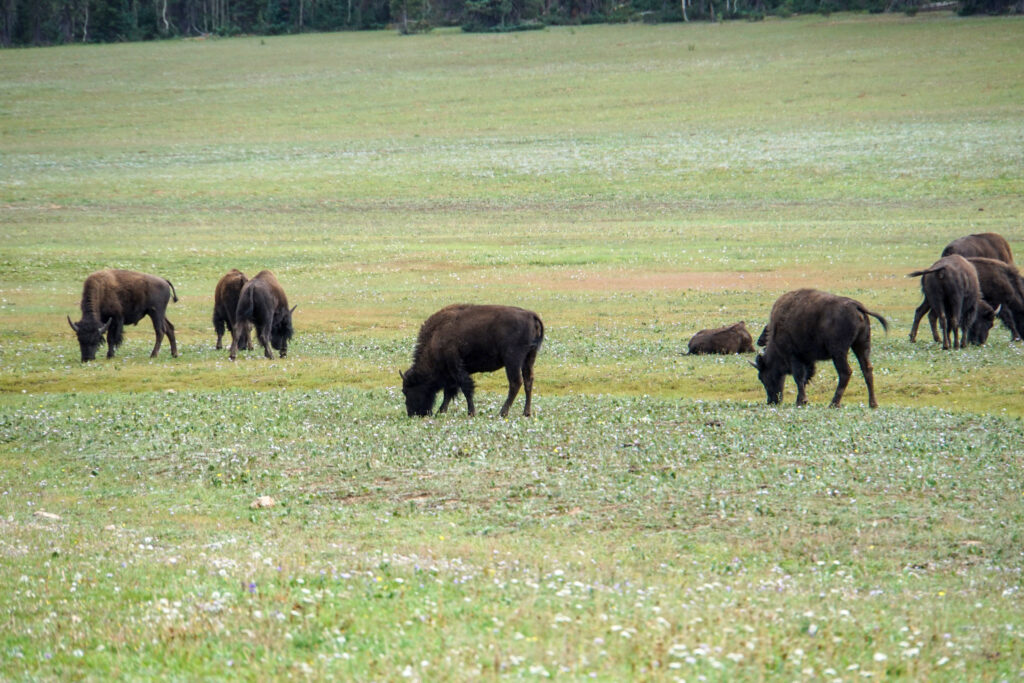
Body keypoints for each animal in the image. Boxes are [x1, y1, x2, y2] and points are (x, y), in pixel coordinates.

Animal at [400, 304, 544, 418]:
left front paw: (471, 412)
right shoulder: (451, 374)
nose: (412, 413)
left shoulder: (456, 368)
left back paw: (503, 413)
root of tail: (530, 315)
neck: (436, 337)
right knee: (528, 381)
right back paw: (526, 413)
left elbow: (465, 389)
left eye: (406, 390)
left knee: (515, 383)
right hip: (529, 358)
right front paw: (441, 411)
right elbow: (449, 392)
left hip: (512, 361)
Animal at [753, 289, 887, 408]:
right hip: (861, 346)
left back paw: (833, 404)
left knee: (845, 372)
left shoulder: (794, 356)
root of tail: (856, 306)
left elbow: (799, 377)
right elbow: (805, 378)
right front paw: (802, 400)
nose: (771, 401)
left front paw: (801, 401)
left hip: (839, 352)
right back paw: (873, 404)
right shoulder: (807, 360)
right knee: (867, 369)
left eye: (763, 377)